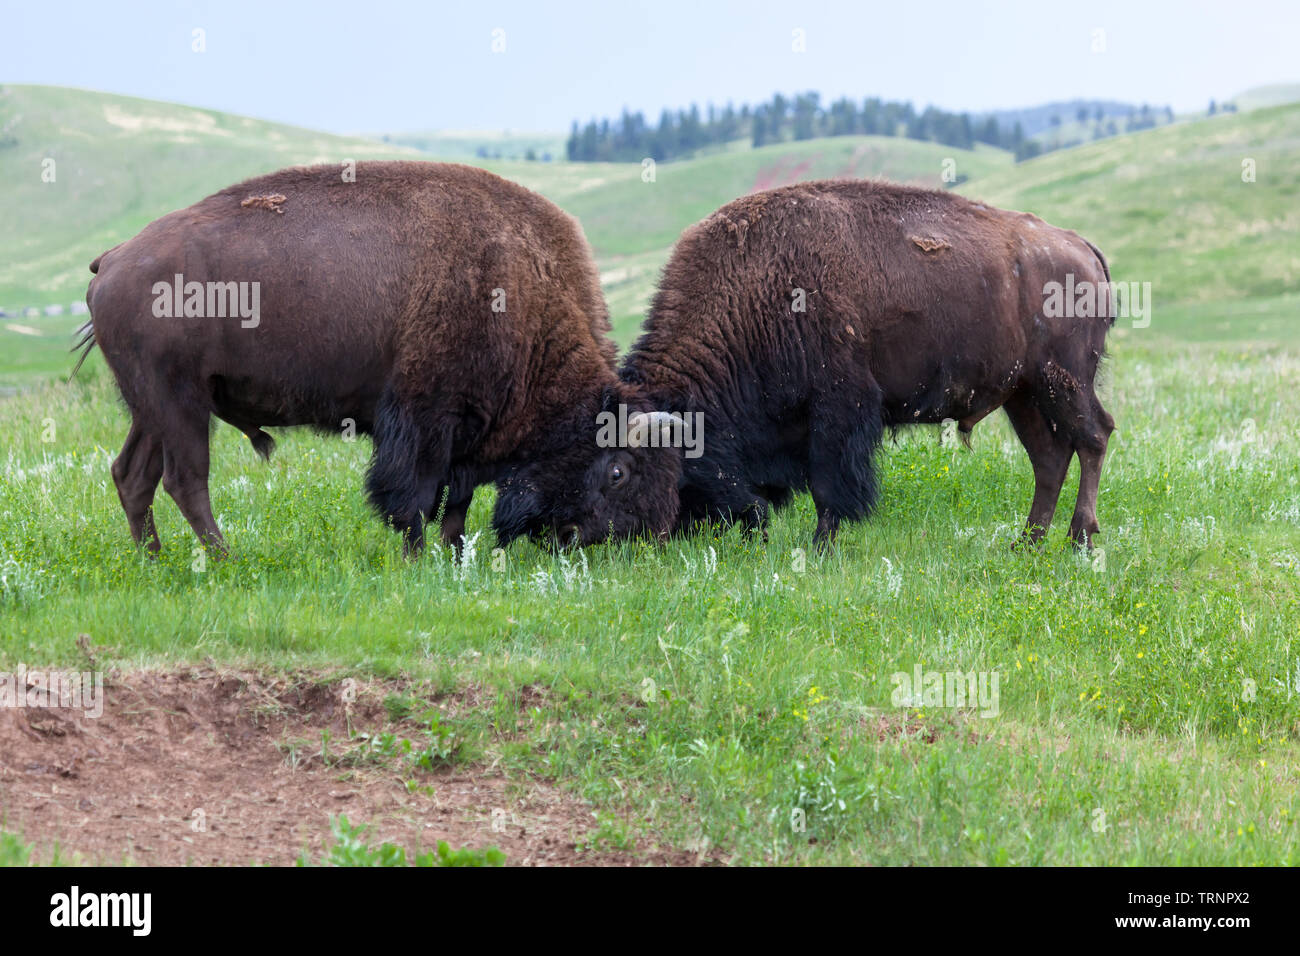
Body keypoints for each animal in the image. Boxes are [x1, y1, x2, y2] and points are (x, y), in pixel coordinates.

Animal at [78, 161, 622, 555]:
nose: (588, 540)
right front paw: (418, 558)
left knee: (133, 475)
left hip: (154, 408)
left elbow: (456, 503)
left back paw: (154, 559)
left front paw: (453, 556)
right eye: (617, 469)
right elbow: (415, 499)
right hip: (180, 403)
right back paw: (224, 559)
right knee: (185, 479)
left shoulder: (466, 430)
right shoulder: (423, 420)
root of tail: (114, 258)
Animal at [494, 179, 1116, 551]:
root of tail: (1081, 246)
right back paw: (1027, 542)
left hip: (1063, 380)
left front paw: (822, 544)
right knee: (1049, 457)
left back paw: (1079, 539)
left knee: (1093, 437)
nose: (562, 534)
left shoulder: (838, 409)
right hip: (1024, 394)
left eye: (617, 471)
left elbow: (830, 484)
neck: (754, 296)